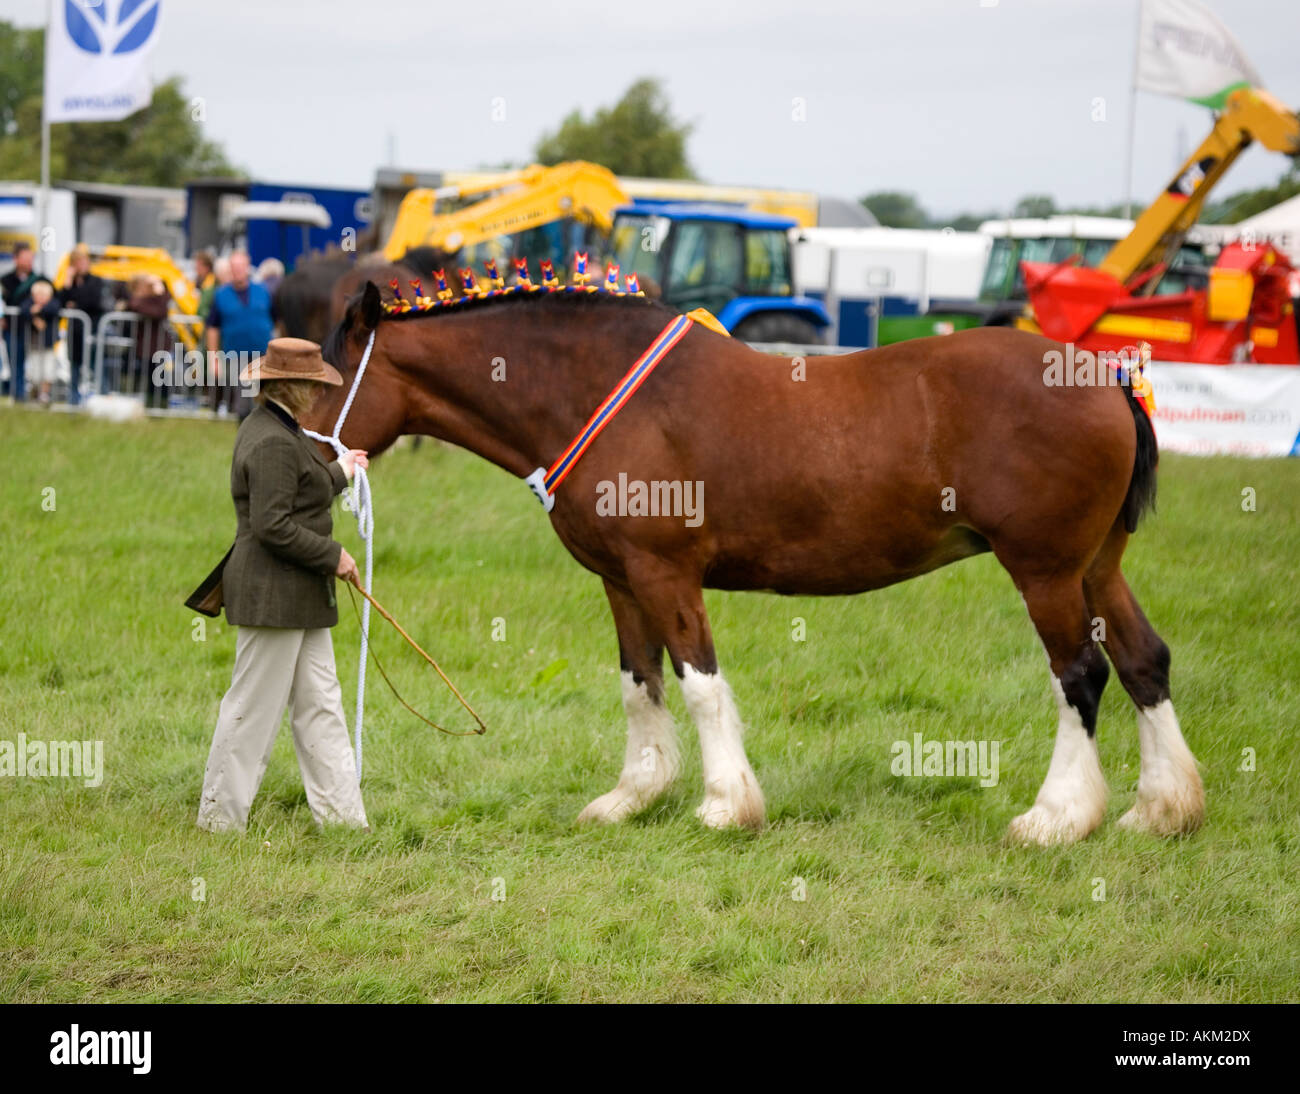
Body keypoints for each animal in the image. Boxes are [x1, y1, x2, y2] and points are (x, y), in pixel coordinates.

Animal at [303, 279, 1205, 845]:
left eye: (325, 380)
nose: (300, 457)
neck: (594, 390)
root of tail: (1109, 377)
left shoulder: (666, 572)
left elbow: (699, 683)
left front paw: (723, 806)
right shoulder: (621, 578)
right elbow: (640, 684)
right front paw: (633, 797)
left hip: (1045, 570)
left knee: (1081, 675)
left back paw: (1057, 817)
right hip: (1096, 568)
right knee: (1144, 661)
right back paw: (1162, 809)